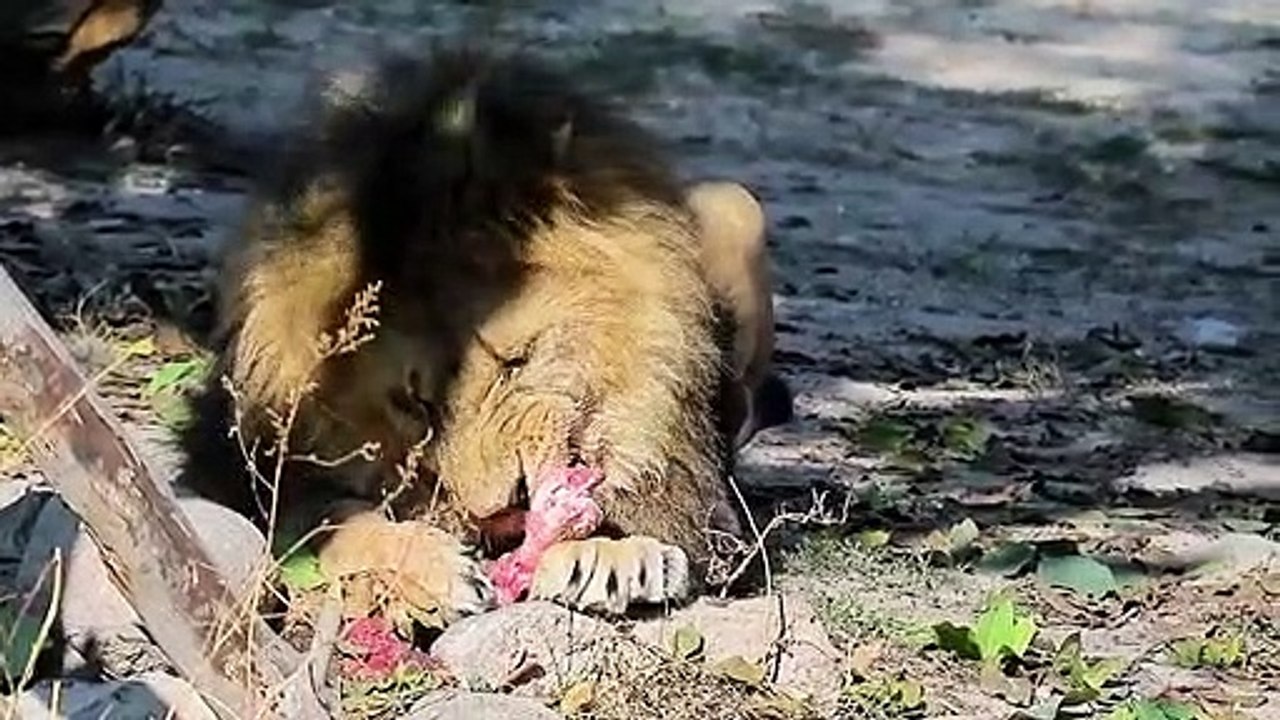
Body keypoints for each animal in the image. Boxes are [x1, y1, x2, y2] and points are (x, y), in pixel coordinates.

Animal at [177, 46, 792, 623]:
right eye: (416, 404)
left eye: (517, 362)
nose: (505, 505)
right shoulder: (237, 471)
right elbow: (326, 520)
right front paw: (422, 570)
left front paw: (609, 556)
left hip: (734, 201)